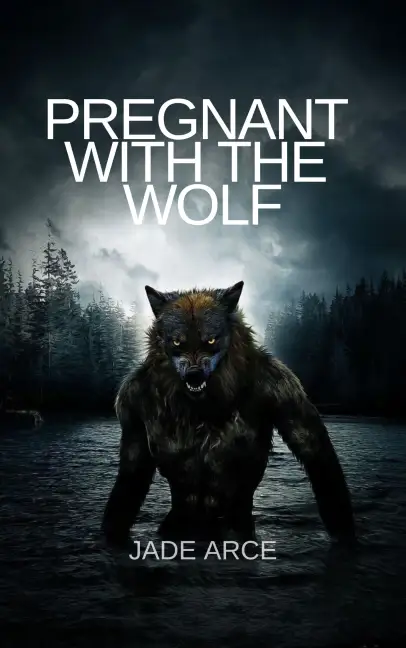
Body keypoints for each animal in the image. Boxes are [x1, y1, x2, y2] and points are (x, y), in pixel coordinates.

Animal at [102, 281, 355, 544]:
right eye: (177, 342)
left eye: (211, 340)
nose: (194, 375)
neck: (199, 406)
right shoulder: (131, 402)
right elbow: (131, 474)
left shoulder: (281, 387)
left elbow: (315, 453)